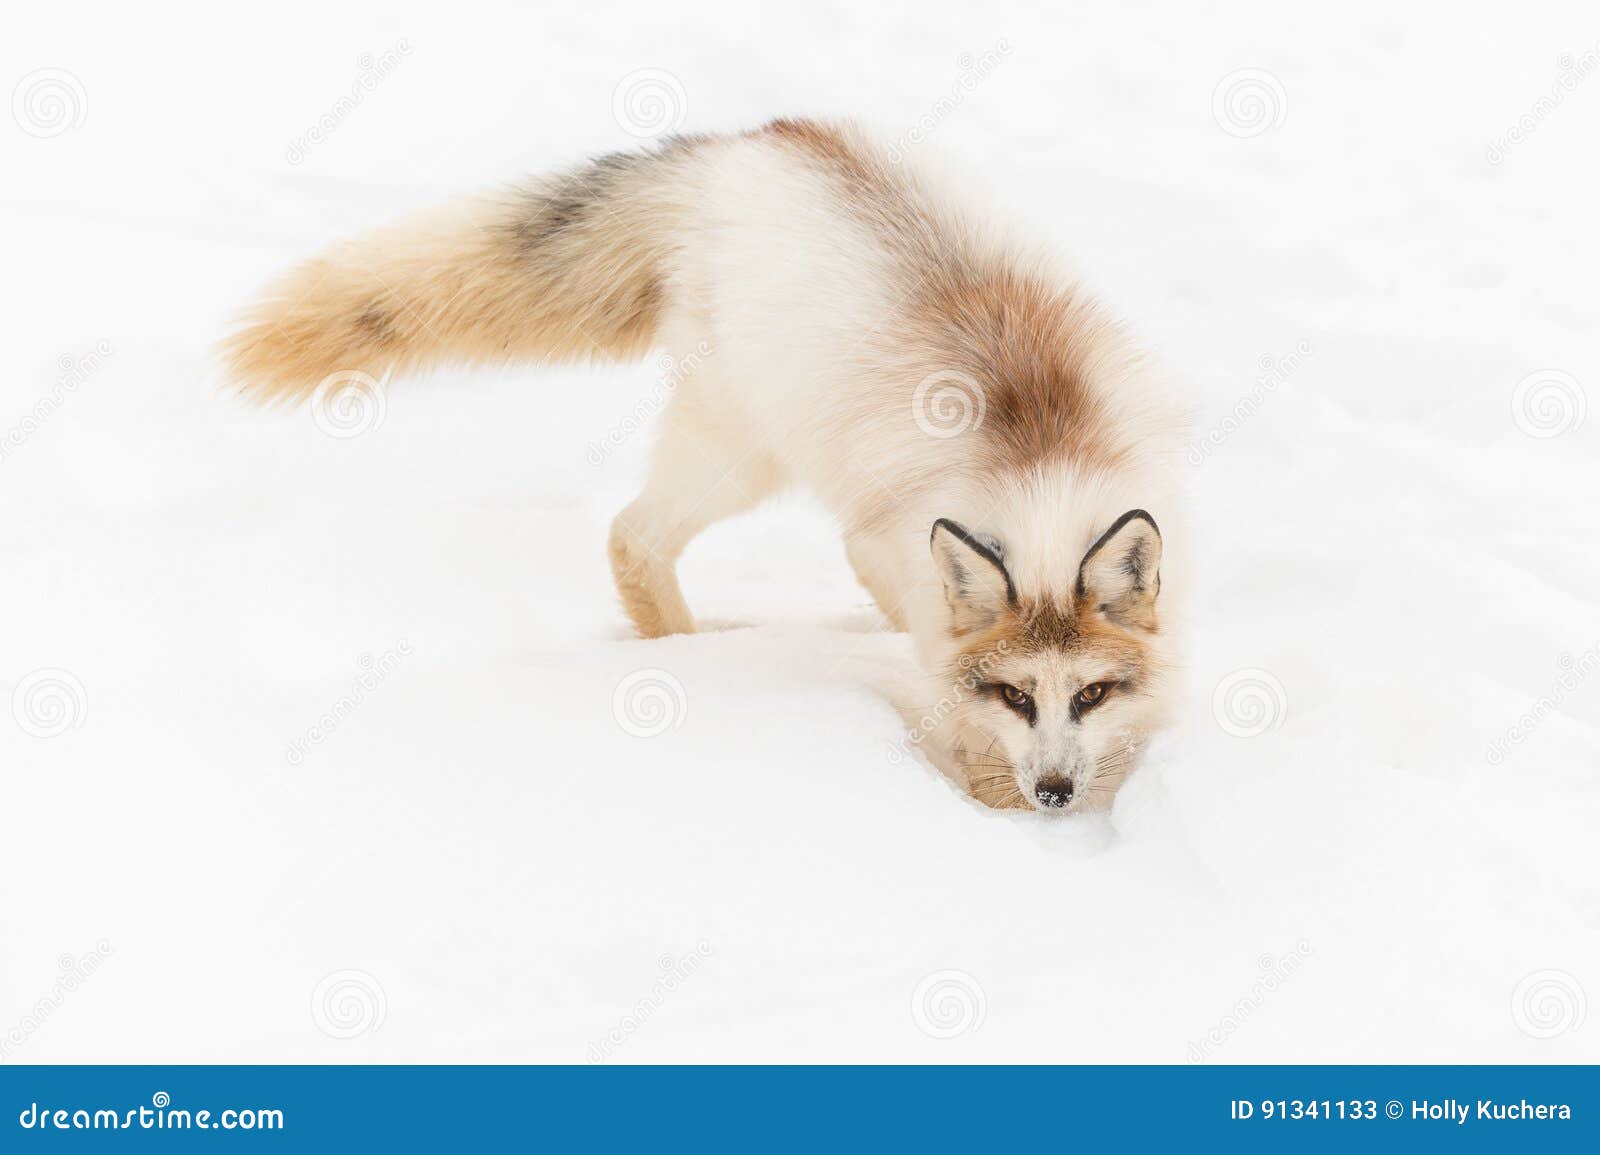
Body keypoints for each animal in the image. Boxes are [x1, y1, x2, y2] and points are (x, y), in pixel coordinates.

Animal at [221, 118, 1187, 813]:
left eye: (1091, 693)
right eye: (1017, 695)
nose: (1057, 791)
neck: (1041, 462)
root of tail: (736, 148)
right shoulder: (919, 573)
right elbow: (955, 706)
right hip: (737, 455)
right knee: (631, 533)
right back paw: (693, 657)